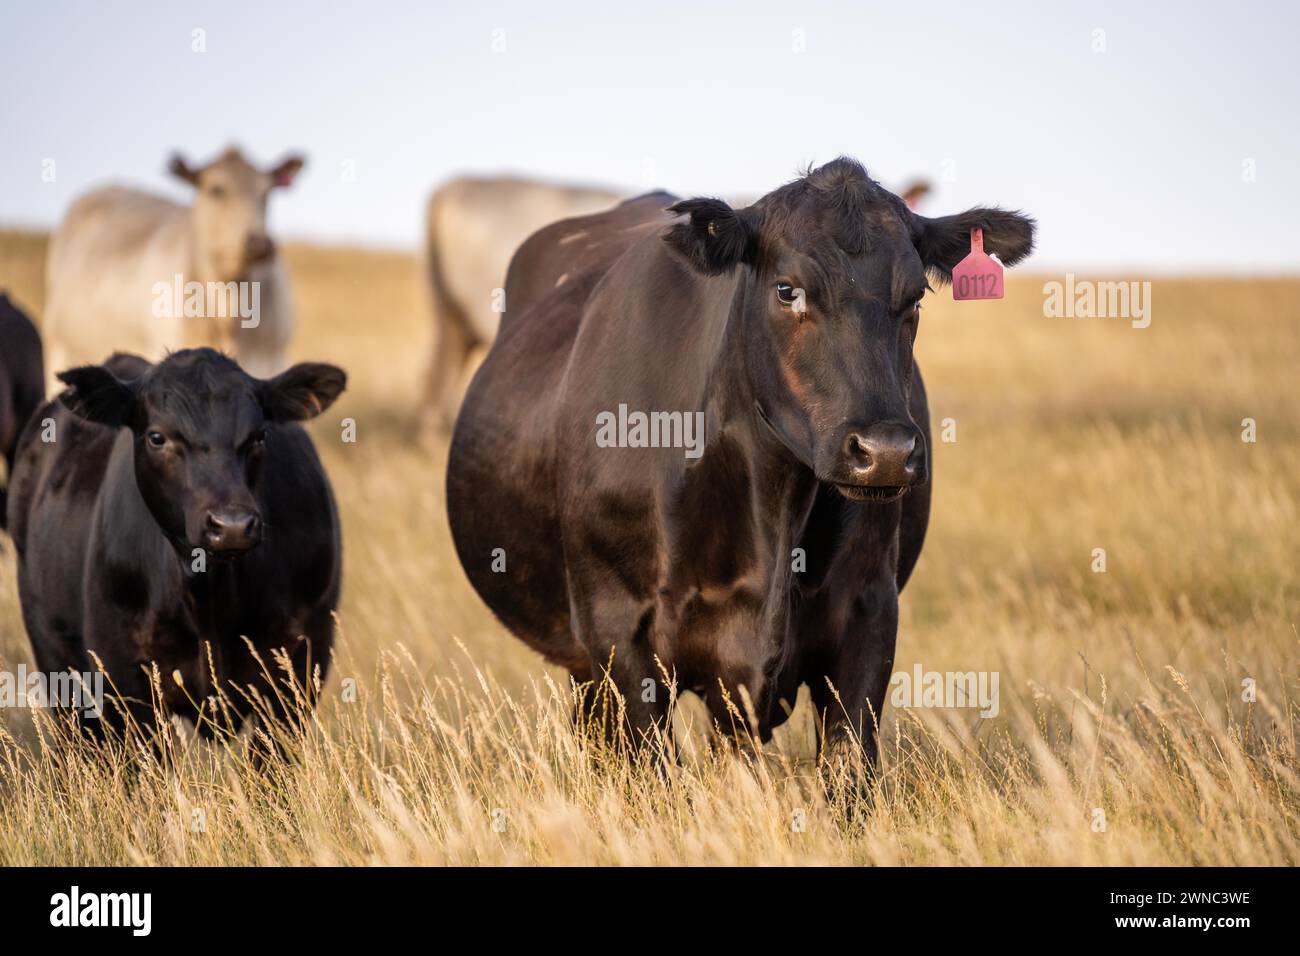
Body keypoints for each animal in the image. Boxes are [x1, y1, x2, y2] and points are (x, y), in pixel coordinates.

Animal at [5, 348, 345, 741]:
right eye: (157, 437)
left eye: (259, 436)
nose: (231, 526)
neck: (210, 602)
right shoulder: (124, 678)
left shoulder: (298, 669)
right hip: (59, 670)